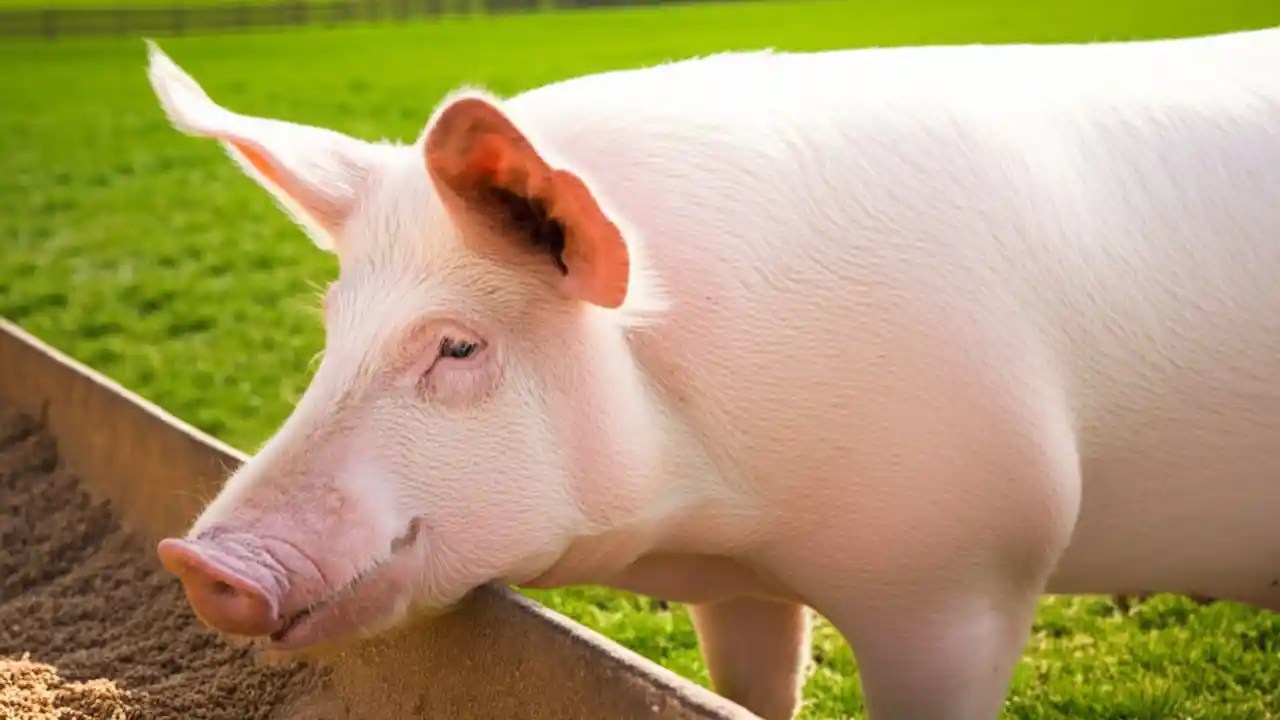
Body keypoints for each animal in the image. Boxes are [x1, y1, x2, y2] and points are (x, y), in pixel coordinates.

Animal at [143, 27, 1280, 720]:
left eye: (457, 347)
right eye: (331, 329)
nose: (196, 561)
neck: (722, 508)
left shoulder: (968, 565)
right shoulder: (740, 590)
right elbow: (748, 689)